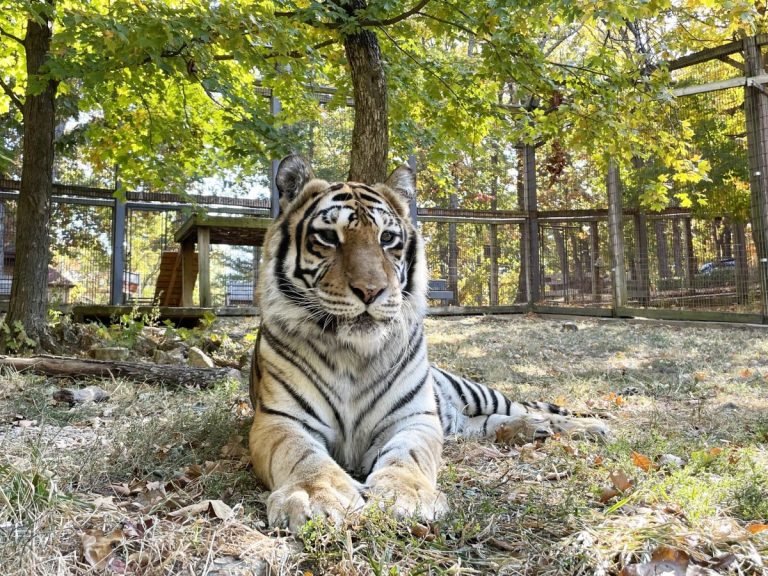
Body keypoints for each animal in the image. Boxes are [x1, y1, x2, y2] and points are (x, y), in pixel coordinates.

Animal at [248, 155, 609, 533]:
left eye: (387, 238)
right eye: (329, 236)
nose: (370, 291)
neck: (353, 354)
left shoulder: (414, 418)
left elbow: (407, 456)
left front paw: (407, 495)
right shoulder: (280, 420)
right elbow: (302, 455)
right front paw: (316, 496)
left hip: (477, 392)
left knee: (529, 409)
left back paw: (586, 427)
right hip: (461, 421)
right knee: (489, 423)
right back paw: (529, 431)